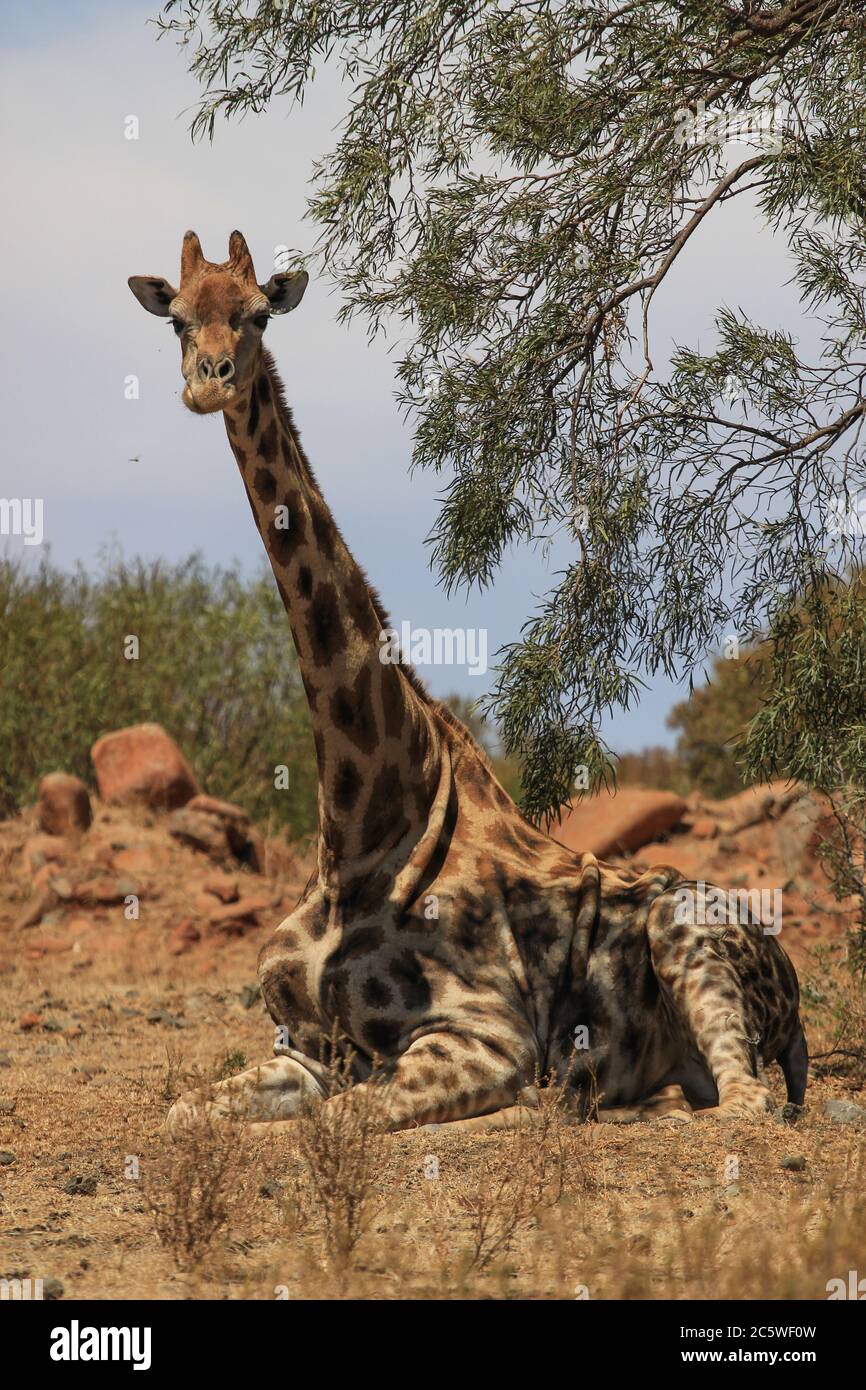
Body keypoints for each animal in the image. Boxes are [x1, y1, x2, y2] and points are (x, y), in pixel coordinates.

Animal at [128, 231, 808, 1134]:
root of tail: (793, 983)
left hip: (683, 929)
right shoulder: (304, 1048)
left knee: (746, 1102)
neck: (355, 832)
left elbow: (342, 1119)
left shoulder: (485, 1035)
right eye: (175, 318)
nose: (210, 381)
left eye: (258, 314)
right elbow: (180, 1113)